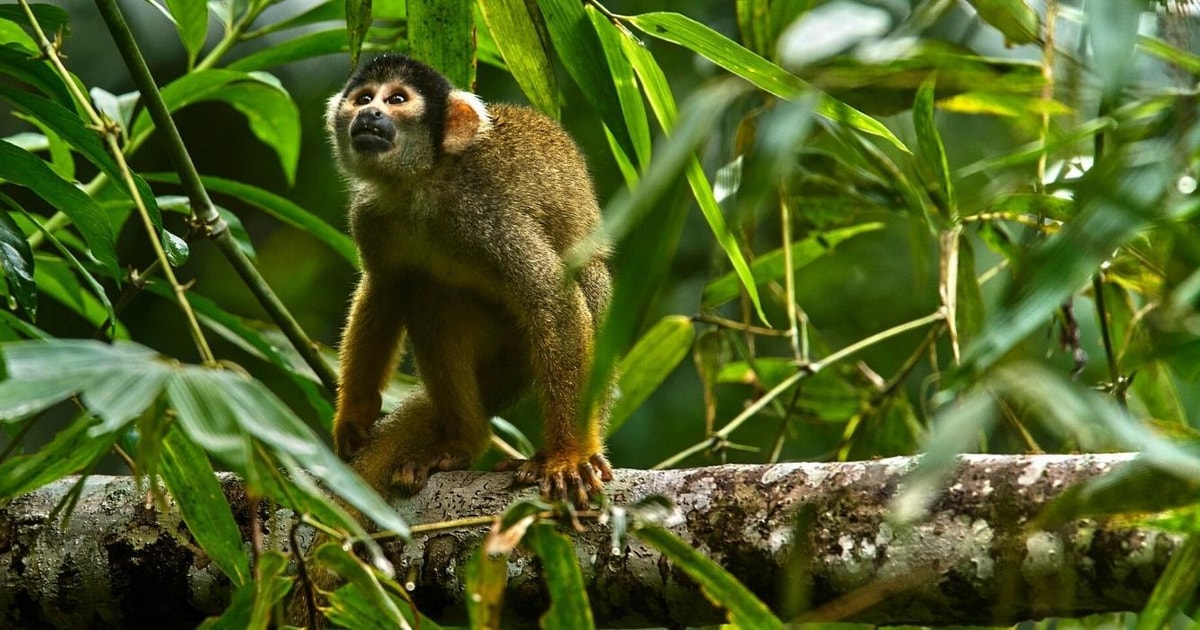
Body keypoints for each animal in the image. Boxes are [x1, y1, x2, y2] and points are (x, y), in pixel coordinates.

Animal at [326, 54, 614, 507]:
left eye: (396, 100)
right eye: (364, 98)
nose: (369, 114)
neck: (421, 184)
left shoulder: (485, 214)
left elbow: (552, 297)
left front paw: (568, 458)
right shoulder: (369, 214)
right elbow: (384, 287)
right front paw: (354, 414)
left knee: (586, 277)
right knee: (429, 294)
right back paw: (462, 441)